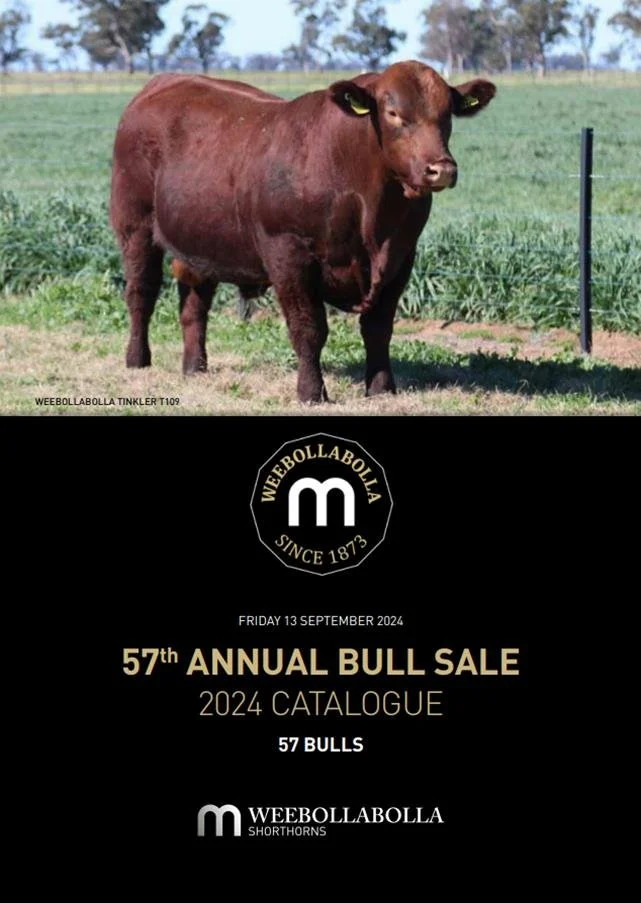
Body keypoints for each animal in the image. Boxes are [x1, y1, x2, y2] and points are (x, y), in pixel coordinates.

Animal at [110, 61, 496, 403]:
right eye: (393, 113)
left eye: (447, 114)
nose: (441, 169)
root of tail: (162, 83)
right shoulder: (288, 254)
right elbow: (308, 328)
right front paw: (311, 392)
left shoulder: (401, 256)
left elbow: (379, 328)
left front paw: (382, 388)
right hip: (134, 225)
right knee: (141, 293)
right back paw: (137, 360)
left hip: (198, 238)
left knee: (194, 301)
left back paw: (195, 366)